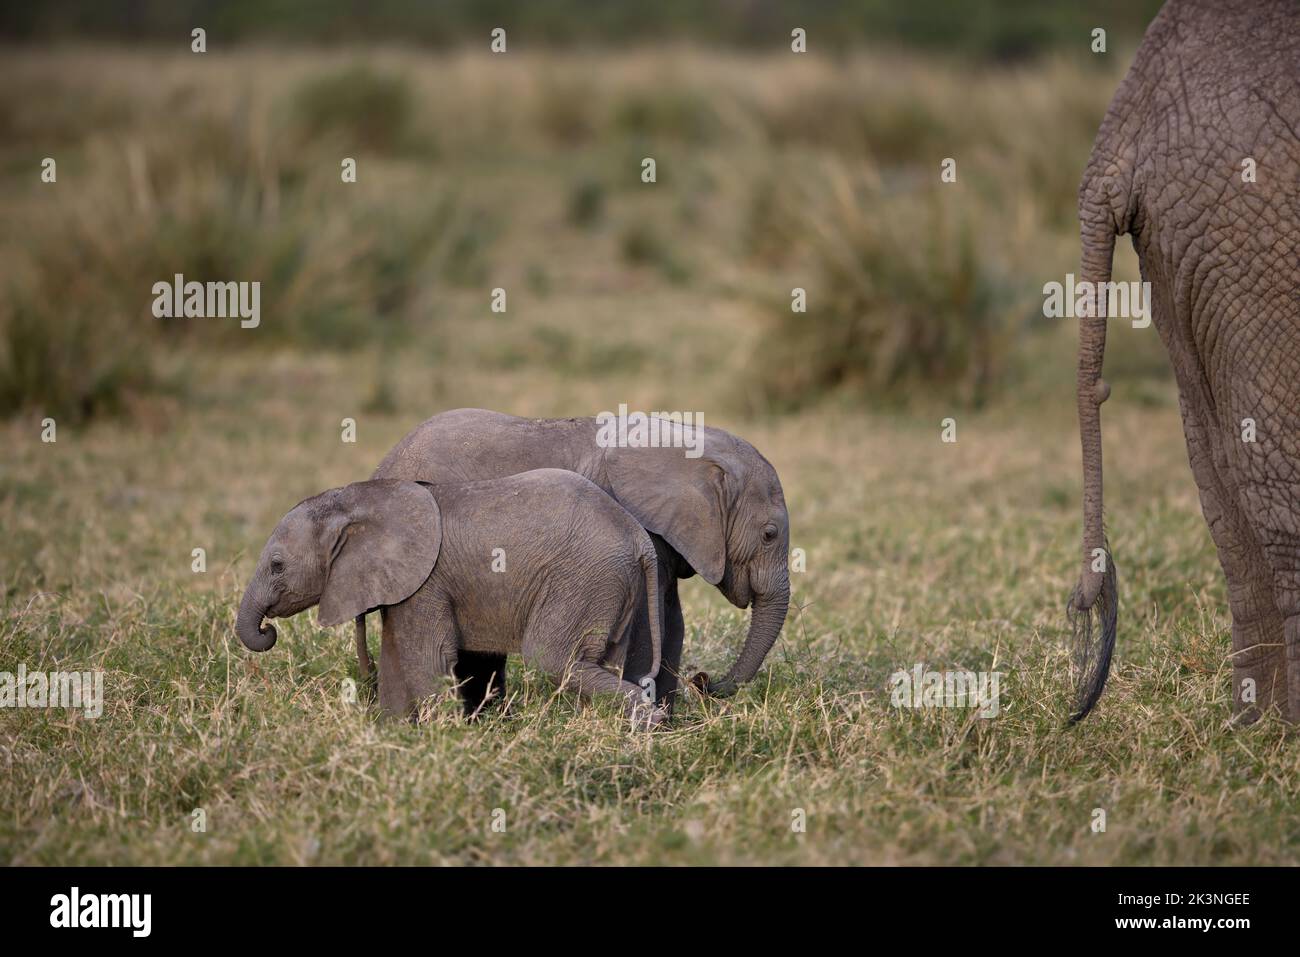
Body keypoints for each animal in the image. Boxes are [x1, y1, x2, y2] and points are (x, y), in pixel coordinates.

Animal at [235, 470, 667, 726]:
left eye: (276, 565)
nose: (267, 630)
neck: (356, 500)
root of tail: (639, 538)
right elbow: (396, 659)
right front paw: (395, 737)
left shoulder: (425, 581)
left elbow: (425, 658)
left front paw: (443, 738)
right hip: (610, 584)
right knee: (599, 662)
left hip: (582, 579)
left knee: (552, 658)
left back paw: (646, 726)